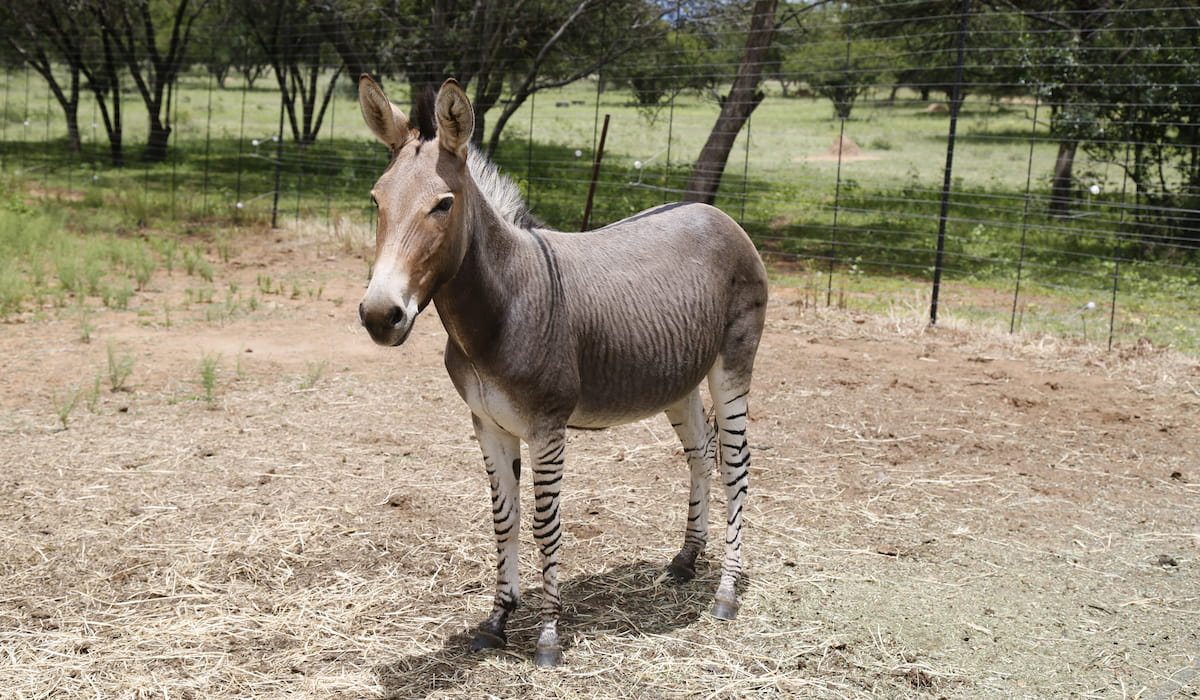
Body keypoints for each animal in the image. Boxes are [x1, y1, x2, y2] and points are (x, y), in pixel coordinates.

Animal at [356, 76, 768, 666]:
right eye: (376, 201)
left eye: (443, 205)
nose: (379, 315)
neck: (503, 304)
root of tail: (716, 212)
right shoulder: (487, 423)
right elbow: (504, 520)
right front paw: (498, 620)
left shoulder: (547, 427)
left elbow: (544, 523)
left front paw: (548, 635)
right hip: (678, 379)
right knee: (701, 453)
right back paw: (687, 560)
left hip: (732, 365)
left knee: (735, 462)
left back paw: (727, 592)